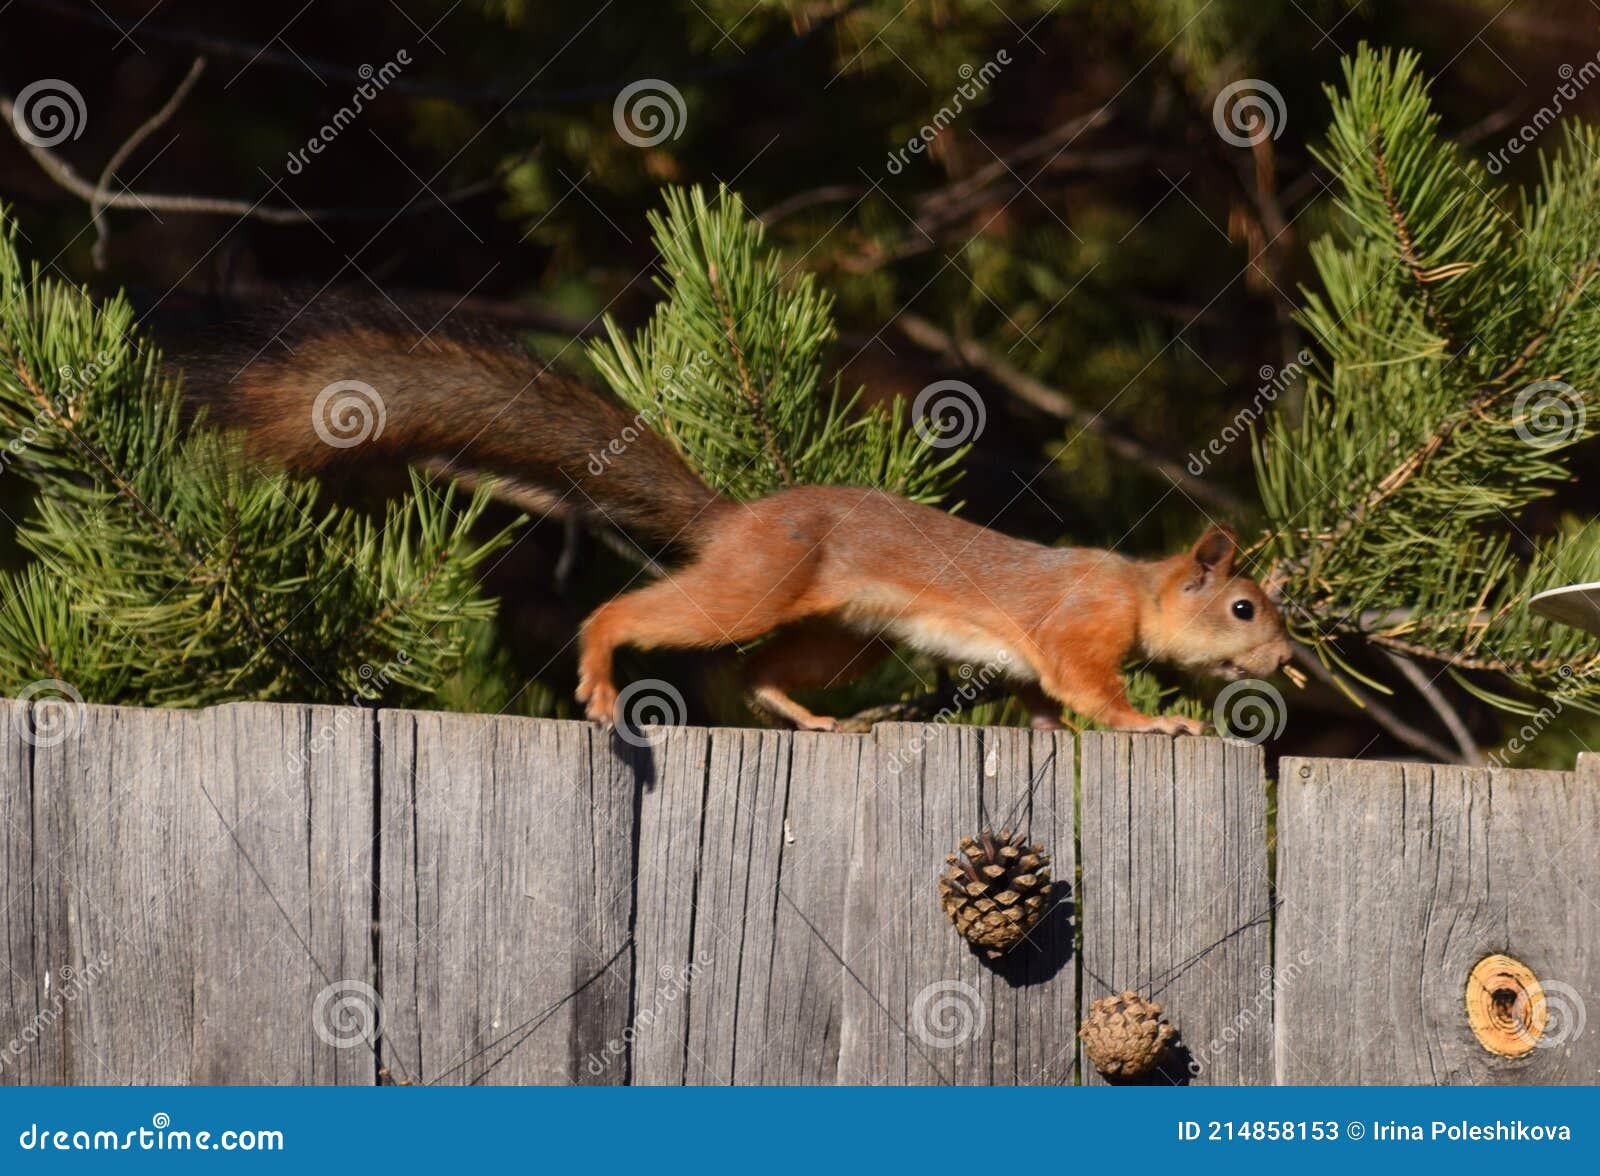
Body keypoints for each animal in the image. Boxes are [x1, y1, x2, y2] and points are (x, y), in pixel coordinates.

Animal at [184, 295, 1293, 735]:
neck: (1138, 588)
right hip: (753, 589)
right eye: (1242, 607)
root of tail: (739, 520)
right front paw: (1156, 721)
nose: (1287, 659)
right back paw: (599, 670)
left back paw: (816, 720)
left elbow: (1041, 704)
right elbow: (1087, 688)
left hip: (840, 636)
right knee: (636, 616)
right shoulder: (1076, 629)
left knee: (760, 677)